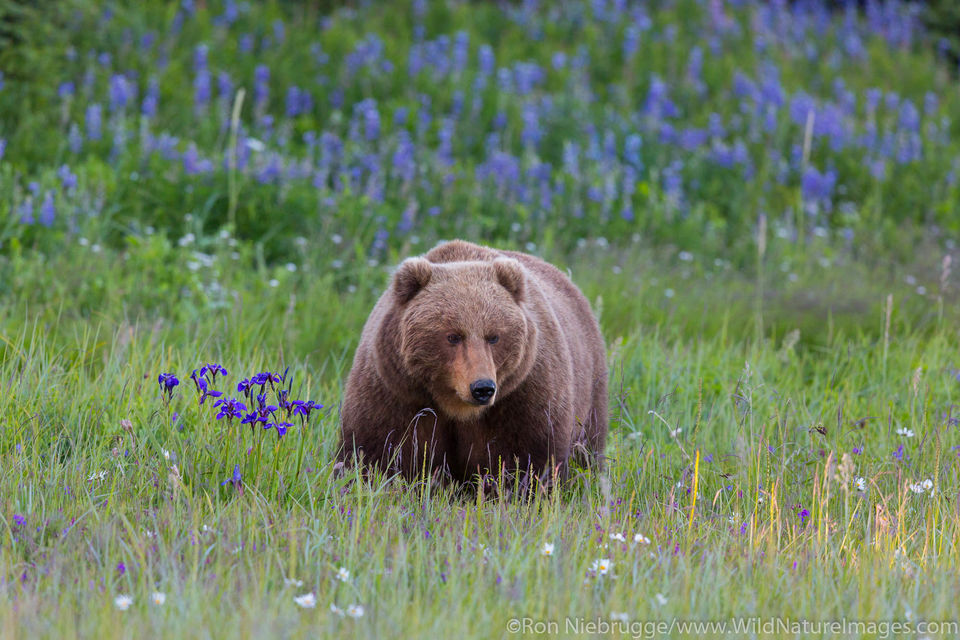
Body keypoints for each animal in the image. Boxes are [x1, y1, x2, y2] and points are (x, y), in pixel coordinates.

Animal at [338, 239, 607, 487]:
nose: (482, 388)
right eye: (453, 336)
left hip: (591, 392)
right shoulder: (396, 393)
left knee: (589, 448)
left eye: (494, 336)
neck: (456, 406)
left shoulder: (522, 397)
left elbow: (527, 460)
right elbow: (377, 451)